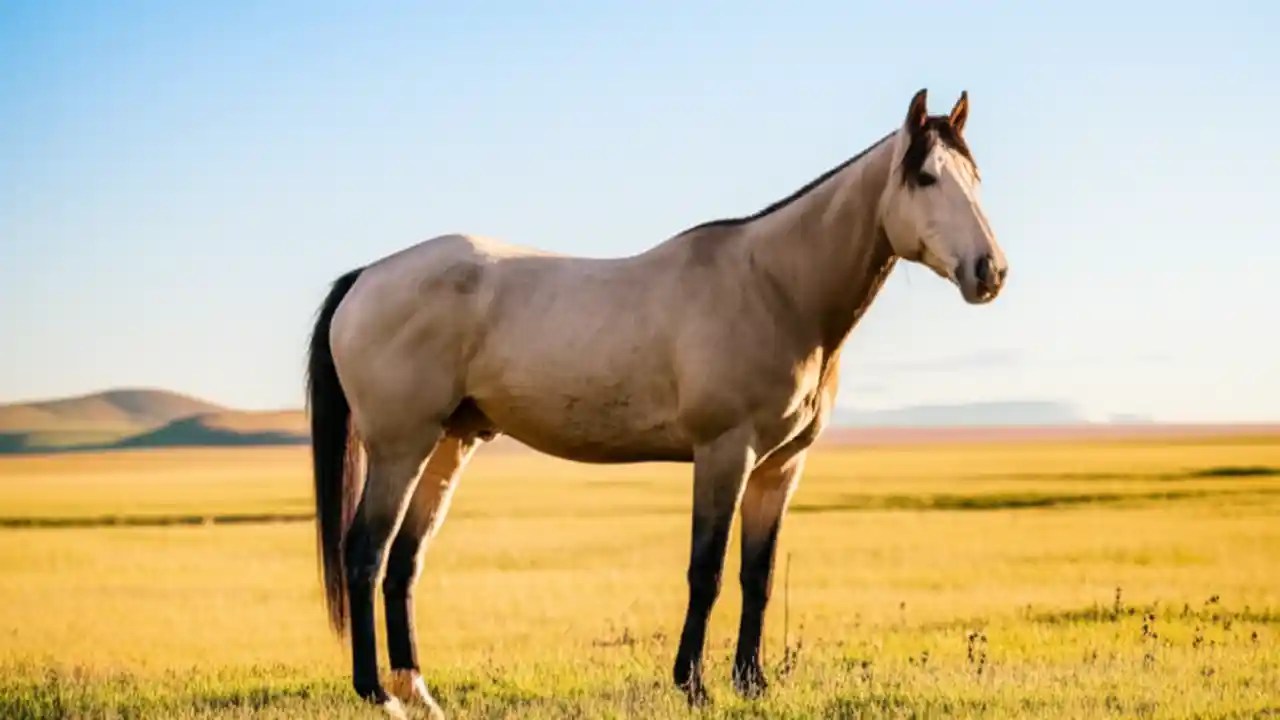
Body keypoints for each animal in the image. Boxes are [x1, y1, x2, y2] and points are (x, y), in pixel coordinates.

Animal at [305, 87, 1008, 719]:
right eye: (924, 177)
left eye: (975, 178)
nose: (990, 271)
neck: (774, 287)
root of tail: (367, 276)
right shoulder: (725, 452)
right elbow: (709, 571)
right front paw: (693, 685)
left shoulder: (780, 468)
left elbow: (757, 576)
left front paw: (752, 684)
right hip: (401, 447)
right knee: (365, 554)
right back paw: (376, 695)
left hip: (449, 444)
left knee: (404, 562)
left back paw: (419, 692)